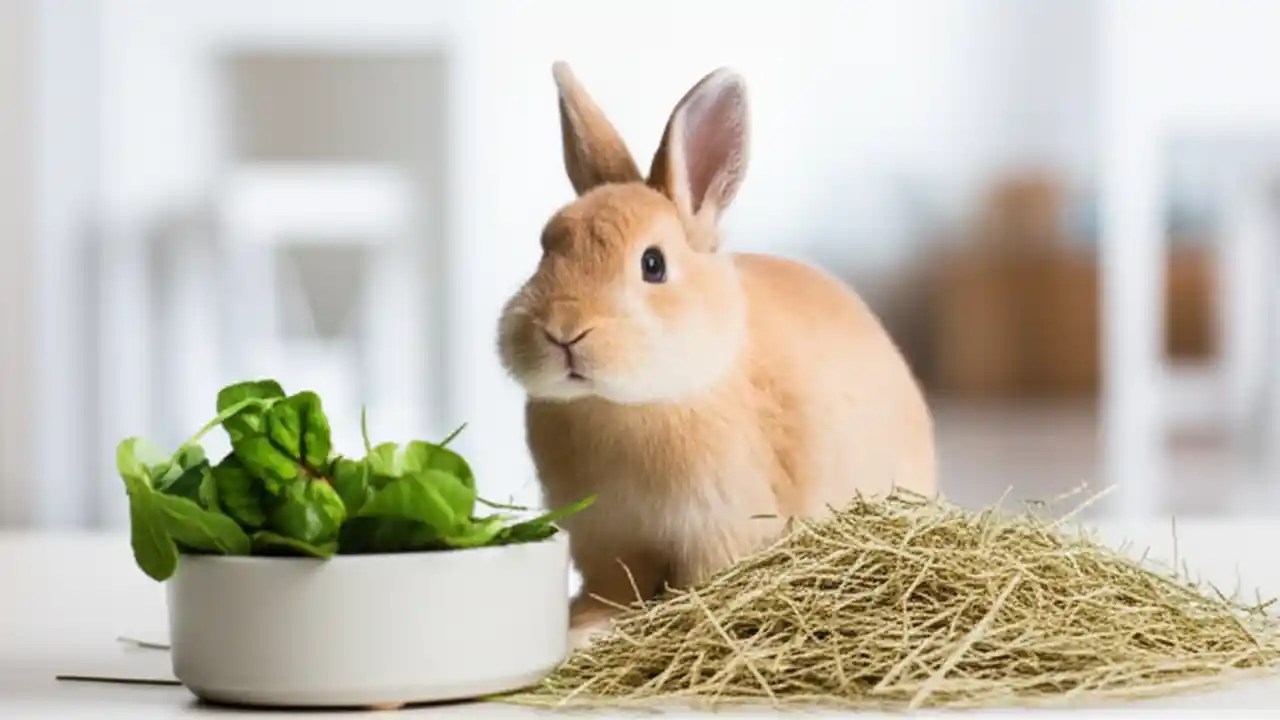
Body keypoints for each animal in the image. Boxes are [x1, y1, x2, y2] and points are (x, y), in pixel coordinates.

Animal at [497, 62, 937, 649]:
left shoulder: (718, 527)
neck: (627, 406)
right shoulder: (606, 541)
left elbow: (698, 583)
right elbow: (611, 593)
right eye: (545, 248)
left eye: (653, 264)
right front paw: (584, 628)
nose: (563, 329)